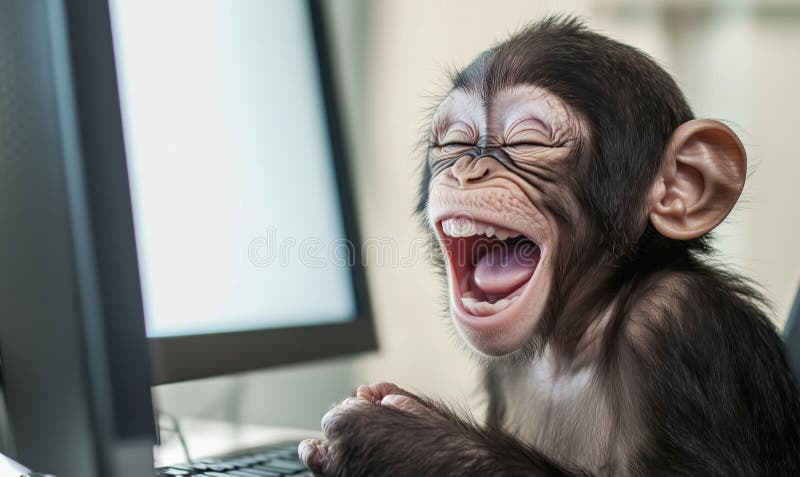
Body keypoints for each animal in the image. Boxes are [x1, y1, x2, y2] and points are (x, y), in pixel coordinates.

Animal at [298, 17, 800, 476]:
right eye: (454, 141)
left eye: (526, 140)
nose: (468, 169)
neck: (572, 340)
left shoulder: (685, 325)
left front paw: (396, 437)